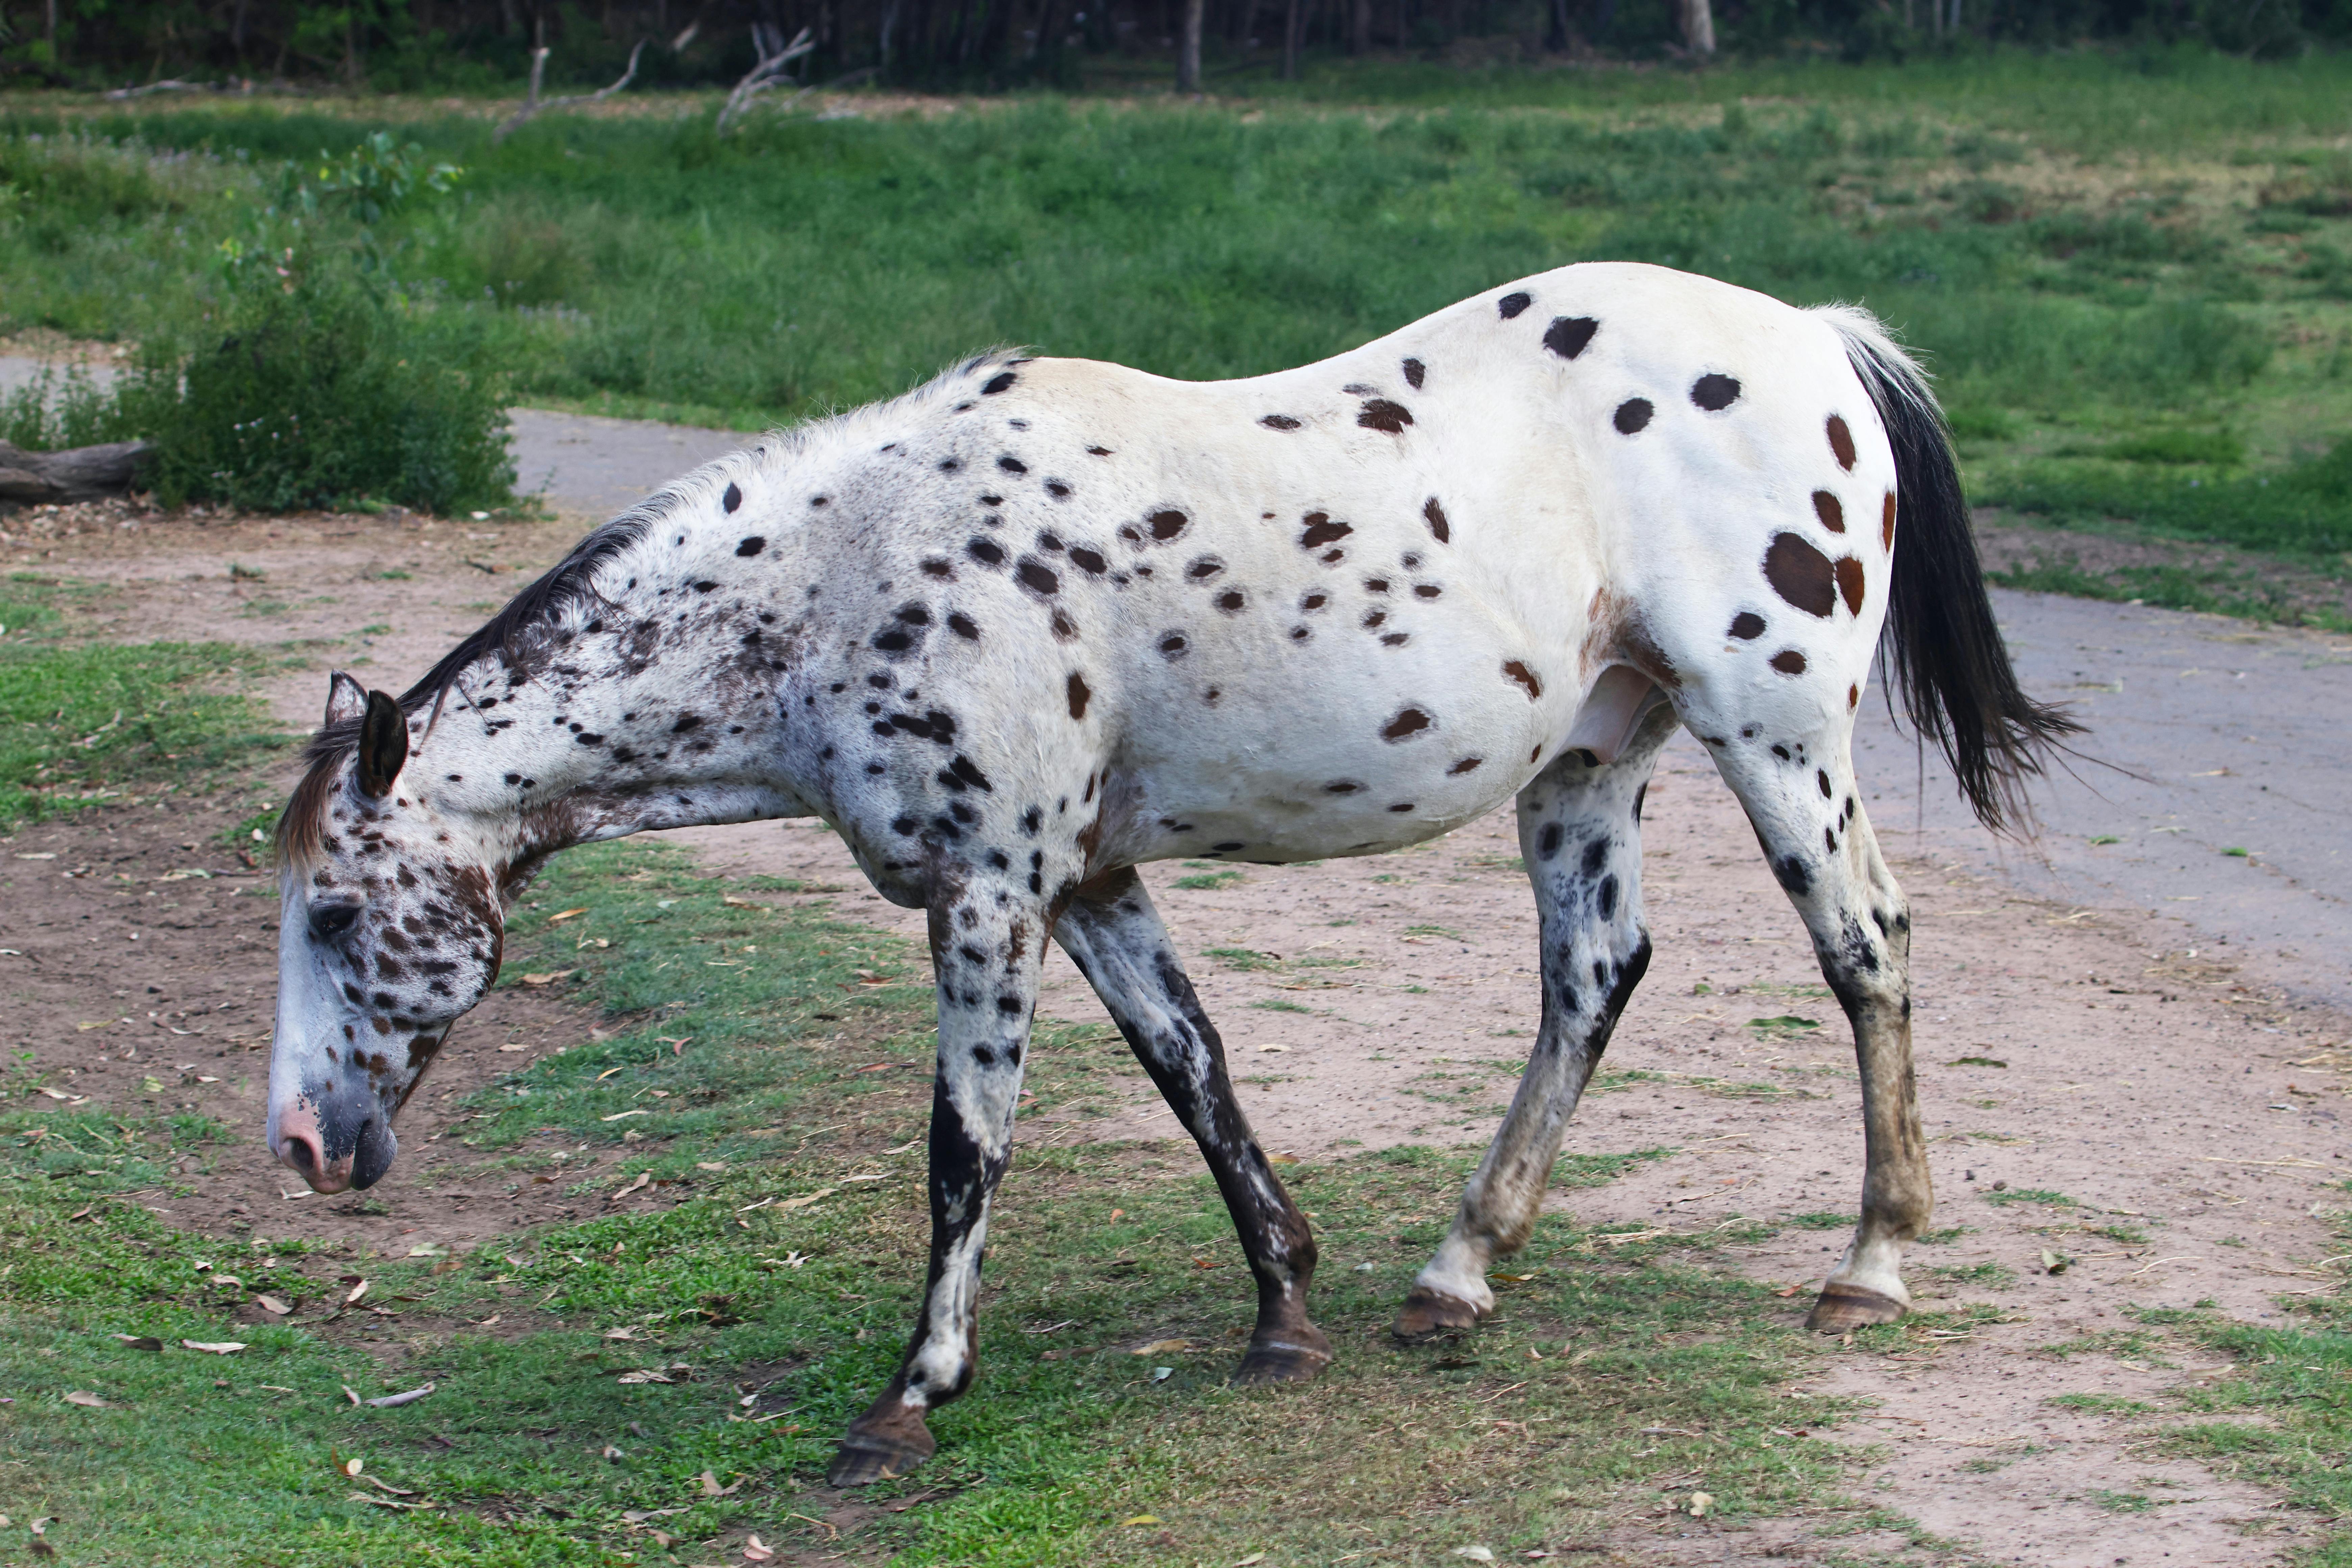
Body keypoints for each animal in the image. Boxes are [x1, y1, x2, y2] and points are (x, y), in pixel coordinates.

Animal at [265, 261, 2076, 1486]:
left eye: (338, 908)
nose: (299, 1145)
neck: (852, 570)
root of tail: (1817, 337)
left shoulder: (992, 894)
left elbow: (967, 1148)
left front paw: (912, 1392)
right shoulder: (1087, 883)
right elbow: (1193, 1068)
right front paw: (1284, 1306)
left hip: (1775, 730)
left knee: (1865, 946)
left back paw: (1868, 1262)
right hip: (1589, 760)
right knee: (1594, 975)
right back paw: (1457, 1275)